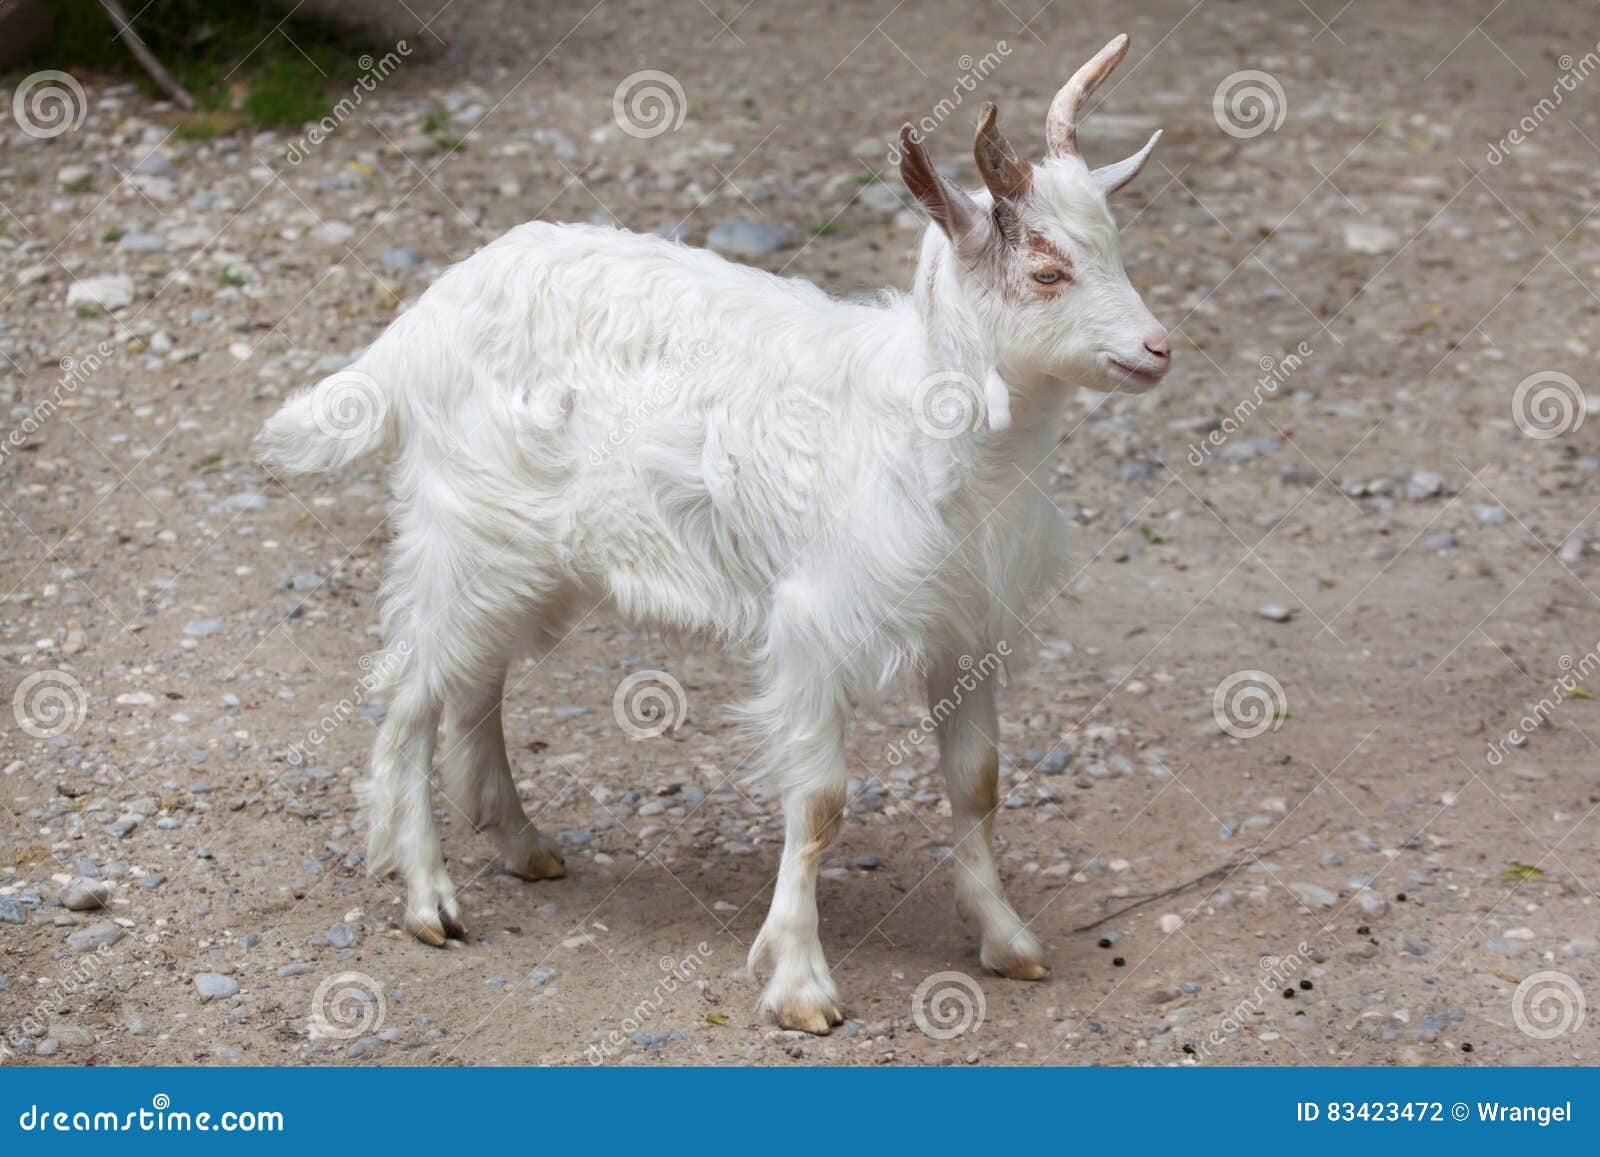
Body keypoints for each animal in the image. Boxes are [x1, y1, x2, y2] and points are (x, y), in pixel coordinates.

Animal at [257, 34, 1171, 1034]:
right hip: (461, 532)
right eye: (1047, 271)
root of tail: (424, 320)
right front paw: (801, 982)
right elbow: (819, 803)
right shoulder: (814, 624)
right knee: (410, 691)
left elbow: (978, 782)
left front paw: (1005, 939)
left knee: (473, 682)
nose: (1158, 347)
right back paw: (428, 897)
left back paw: (521, 842)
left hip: (519, 559)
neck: (926, 423)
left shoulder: (965, 622)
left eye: (1115, 248)